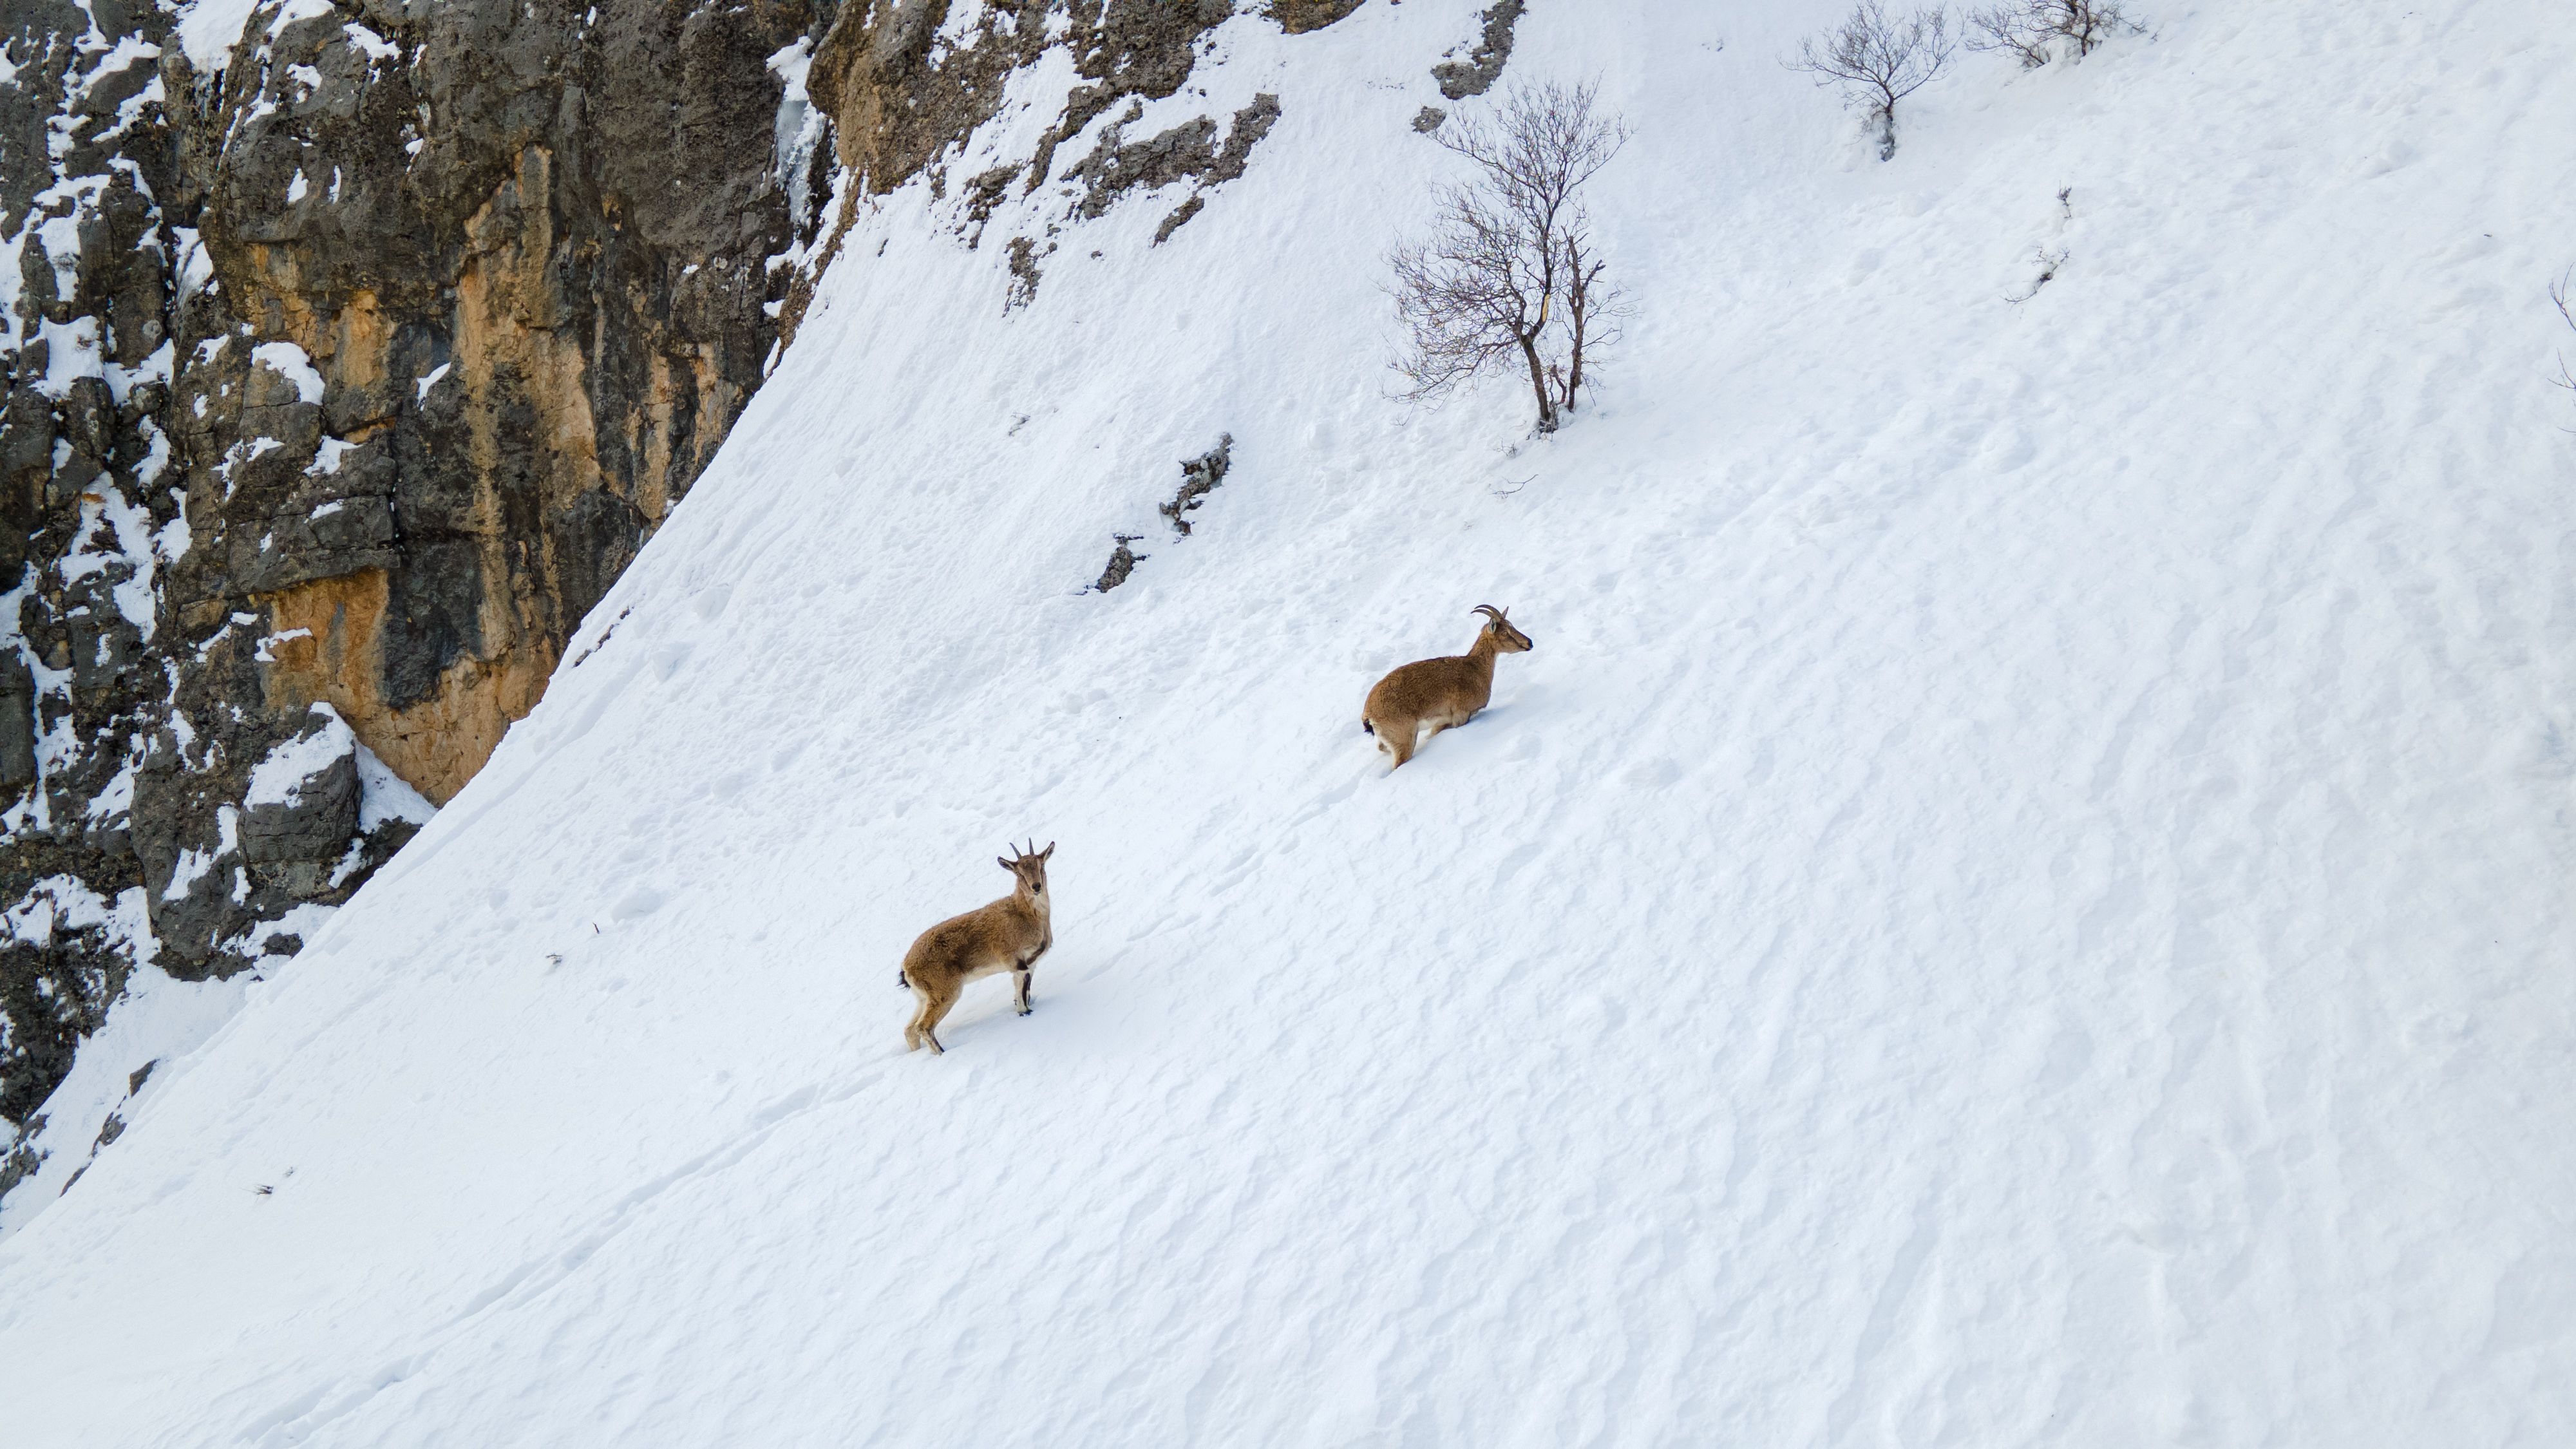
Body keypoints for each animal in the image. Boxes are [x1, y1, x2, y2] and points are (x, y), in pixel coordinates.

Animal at [897, 841, 1053, 1054]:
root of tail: (906, 968)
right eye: (1019, 873)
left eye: (1041, 866)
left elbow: (1025, 991)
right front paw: (1025, 1013)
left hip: (923, 998)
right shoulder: (1016, 962)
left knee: (909, 1029)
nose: (1036, 887)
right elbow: (1021, 993)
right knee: (923, 1027)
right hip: (944, 994)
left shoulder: (1030, 964)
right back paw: (942, 1052)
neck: (1024, 915)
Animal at [1361, 605, 1535, 768]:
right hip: (1404, 739)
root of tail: (1368, 714)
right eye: (1505, 633)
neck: (1475, 668)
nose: (1529, 643)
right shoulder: (1461, 715)